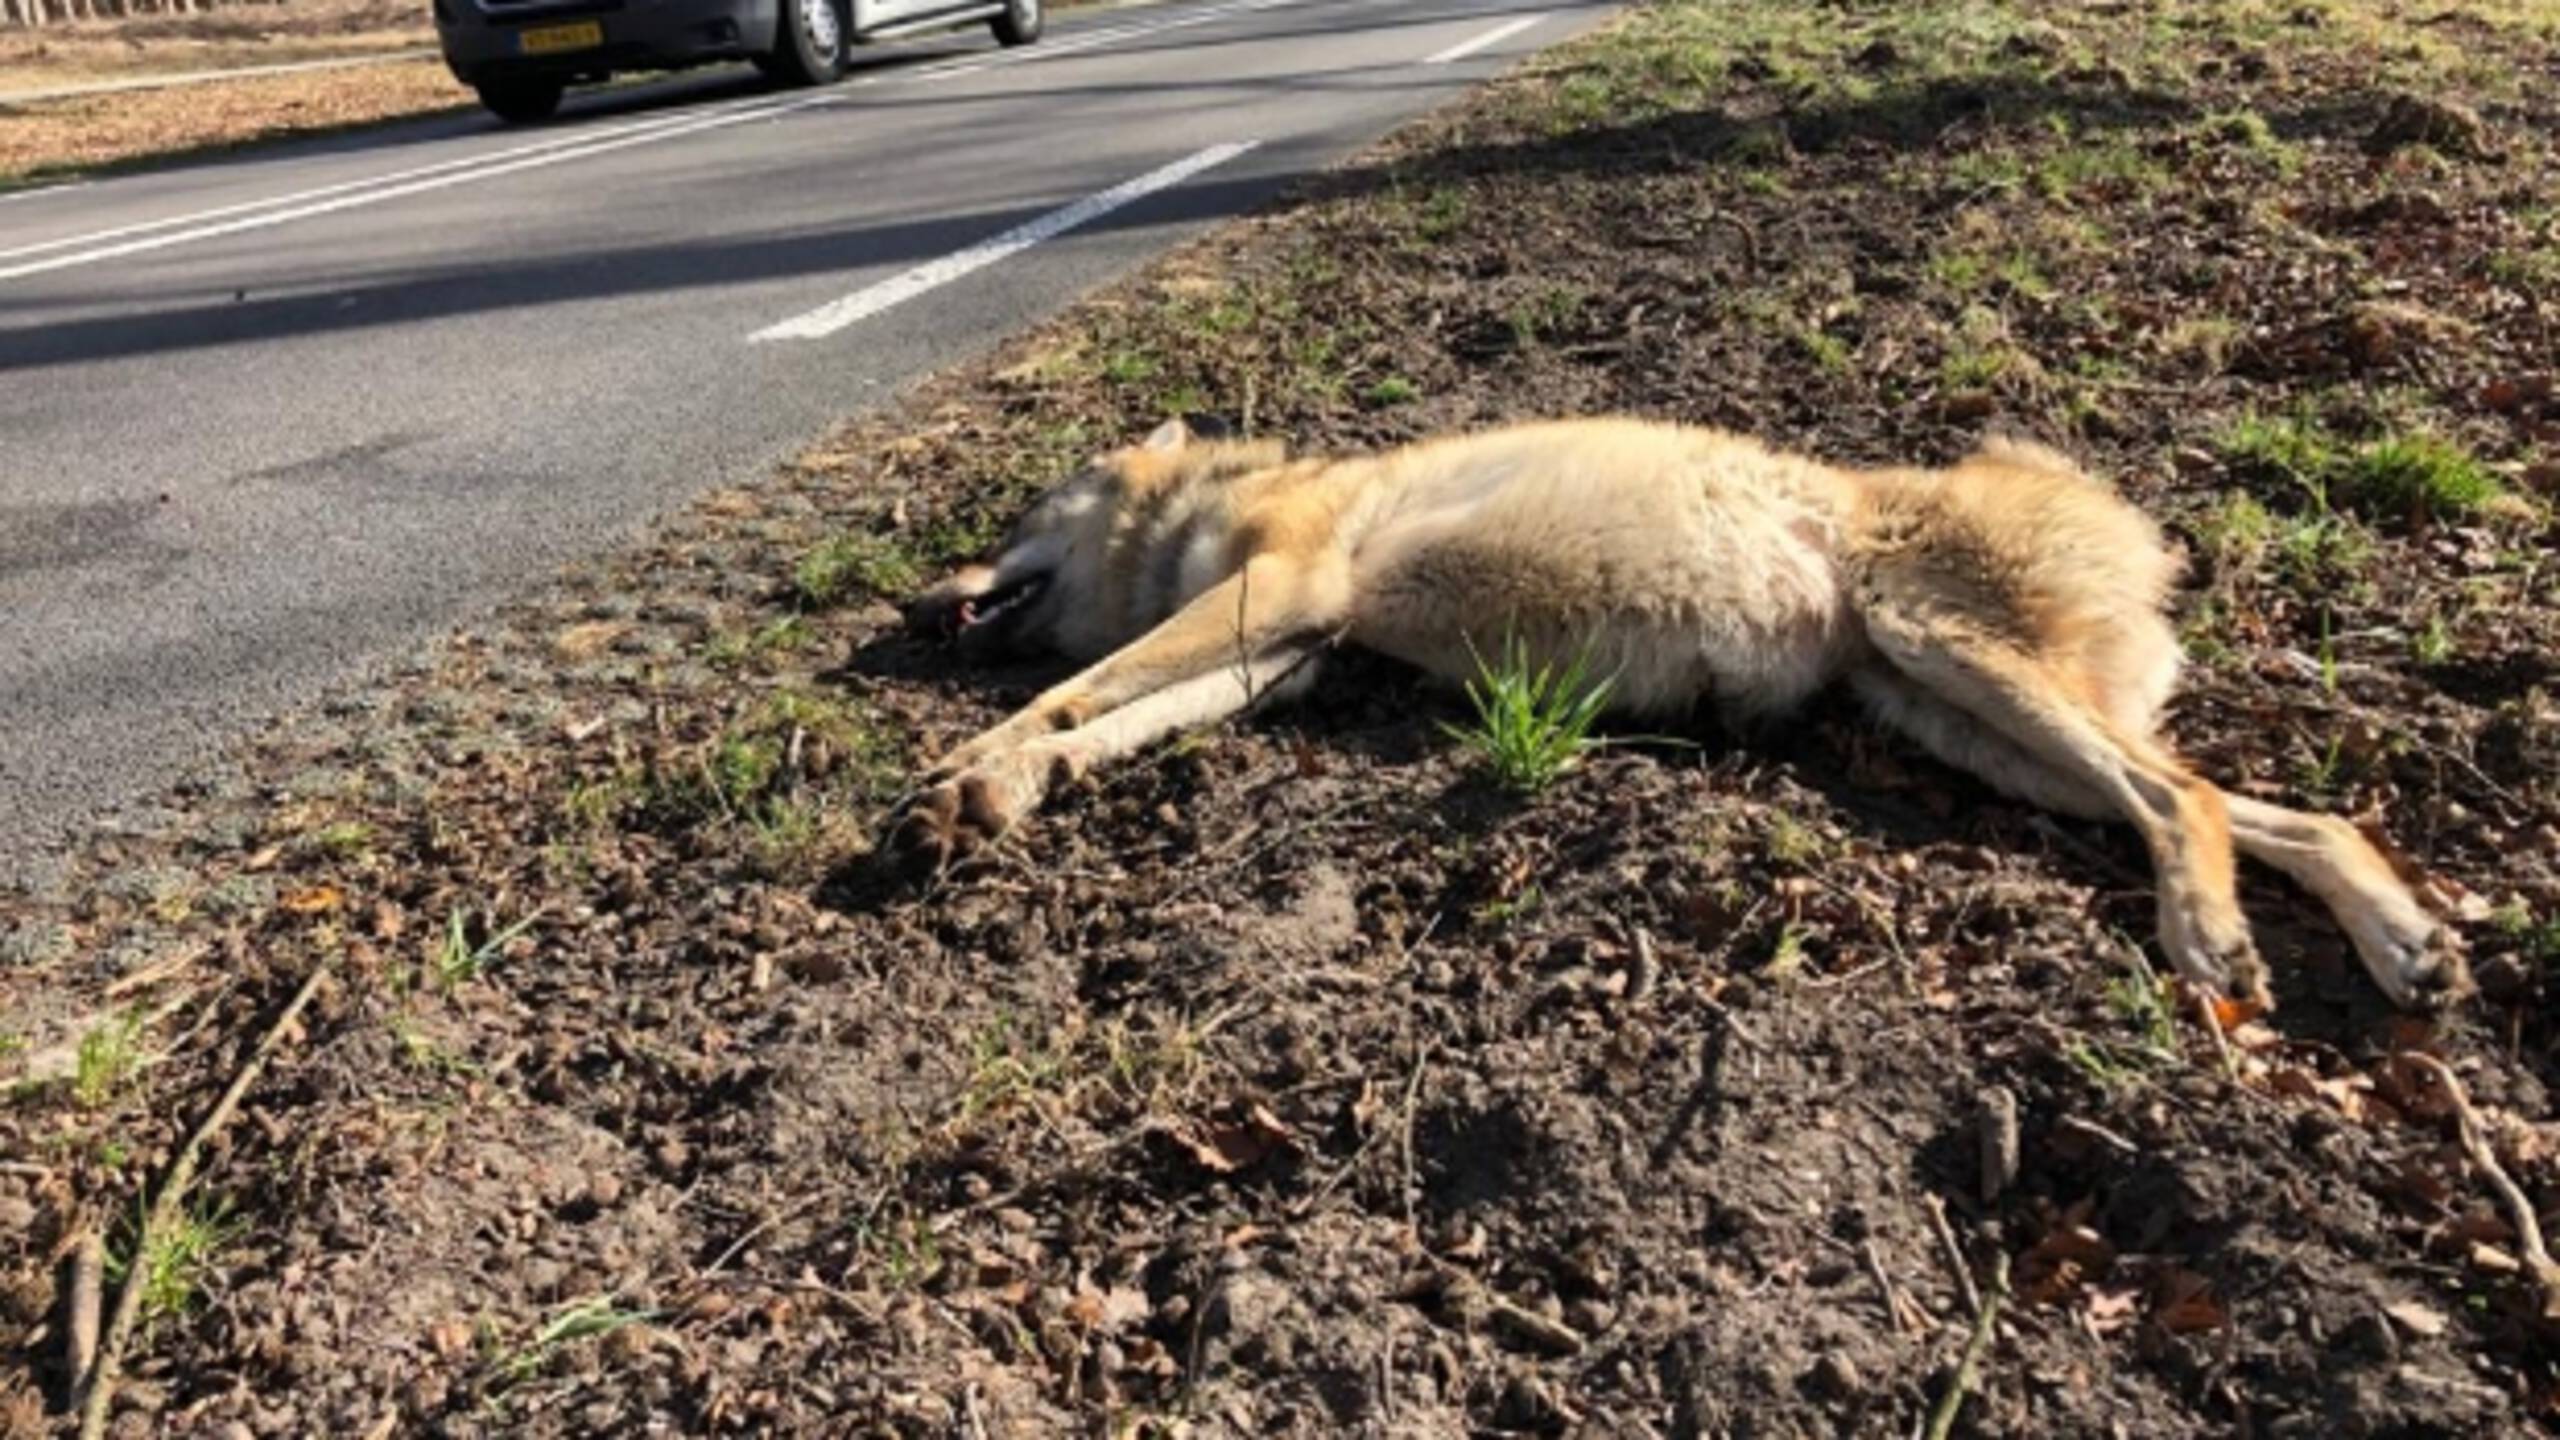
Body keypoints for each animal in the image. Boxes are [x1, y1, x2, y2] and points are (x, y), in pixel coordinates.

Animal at [895, 415, 2467, 1010]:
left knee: (2183, 799)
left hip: (1964, 678)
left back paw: (2213, 944)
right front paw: (999, 793)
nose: (912, 603)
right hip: (1971, 734)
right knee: (2287, 815)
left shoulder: (1272, 599)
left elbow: (1064, 691)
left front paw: (963, 764)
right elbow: (1095, 725)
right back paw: (2406, 947)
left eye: (1012, 519)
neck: (1217, 509)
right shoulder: (1276, 652)